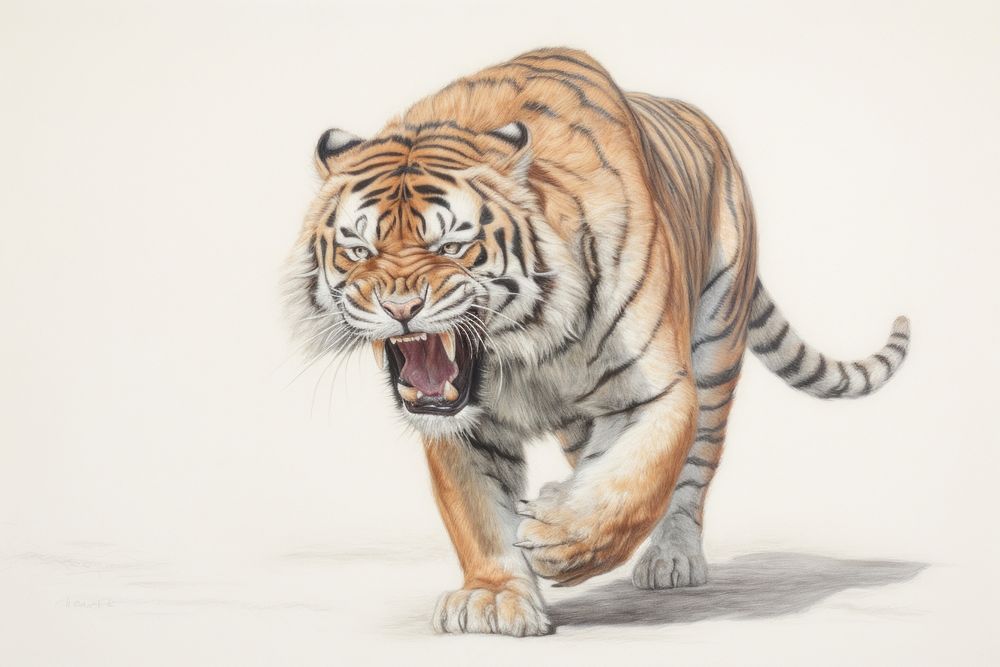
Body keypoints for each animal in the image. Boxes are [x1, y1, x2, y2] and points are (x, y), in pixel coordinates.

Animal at [283, 47, 910, 637]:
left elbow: (639, 480)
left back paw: (671, 558)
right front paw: (494, 598)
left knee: (692, 469)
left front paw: (561, 538)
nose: (400, 309)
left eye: (451, 247)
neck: (521, 350)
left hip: (715, 349)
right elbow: (477, 512)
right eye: (358, 250)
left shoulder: (659, 388)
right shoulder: (463, 428)